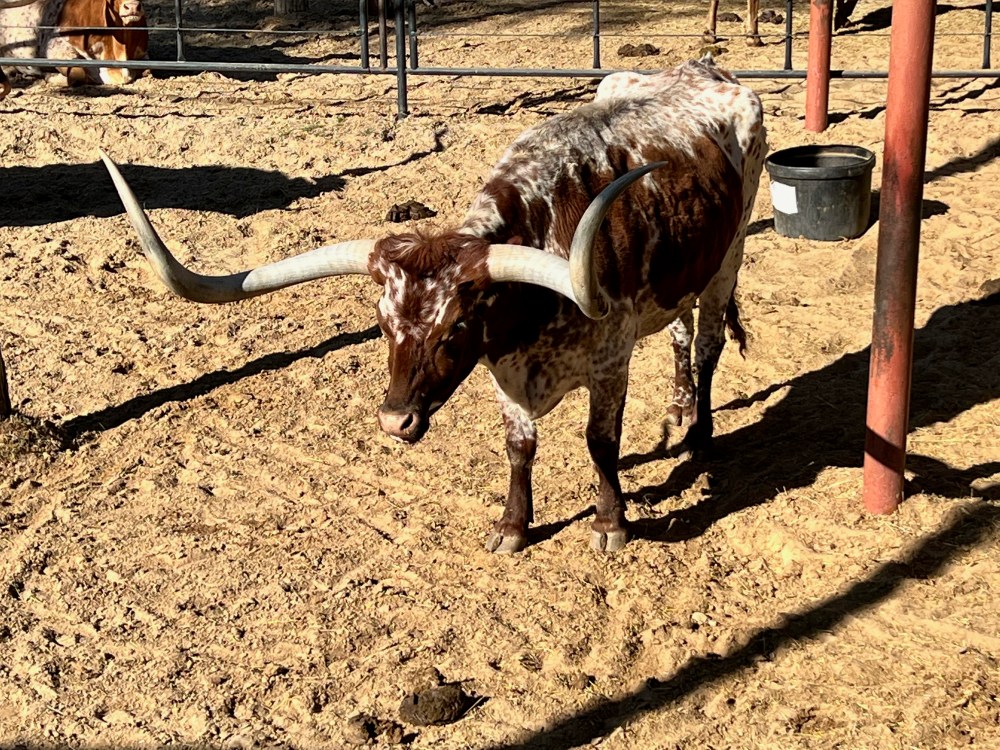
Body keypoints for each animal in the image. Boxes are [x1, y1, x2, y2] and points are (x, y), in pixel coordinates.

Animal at [100, 57, 767, 553]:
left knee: (706, 344)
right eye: (381, 326)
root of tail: (706, 68)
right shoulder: (505, 368)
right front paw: (512, 527)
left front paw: (610, 523)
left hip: (728, 255)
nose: (395, 423)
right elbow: (519, 446)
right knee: (680, 330)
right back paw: (679, 408)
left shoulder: (609, 359)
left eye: (456, 327)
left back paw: (700, 429)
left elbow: (600, 442)